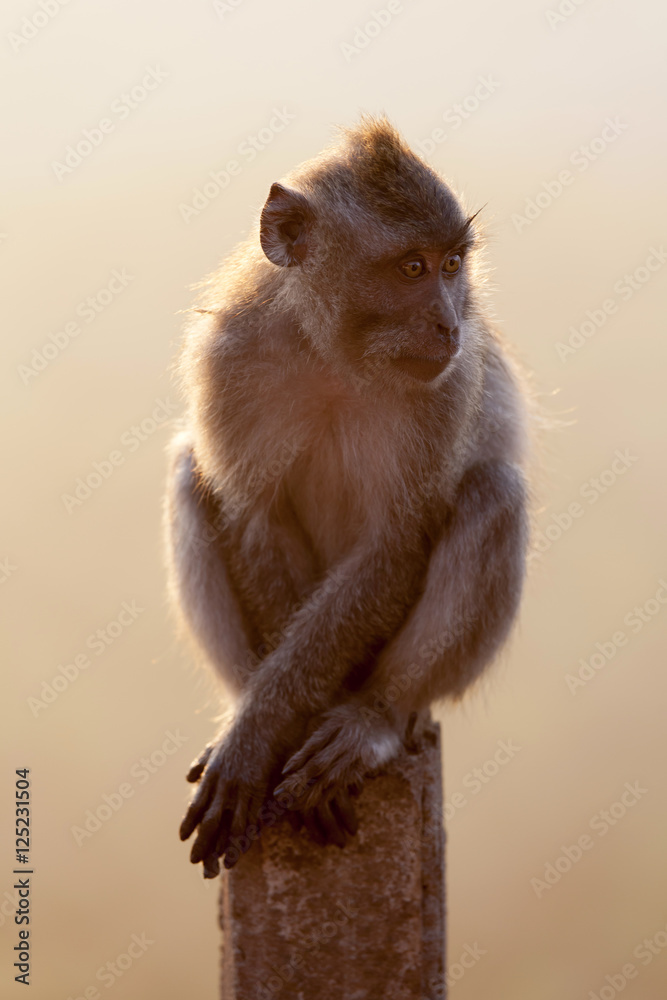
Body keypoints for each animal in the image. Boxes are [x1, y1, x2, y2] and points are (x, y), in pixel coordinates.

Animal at [165, 115, 530, 879]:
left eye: (452, 264)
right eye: (412, 268)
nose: (450, 325)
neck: (337, 357)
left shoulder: (448, 384)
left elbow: (395, 545)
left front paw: (271, 728)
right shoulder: (228, 355)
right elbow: (254, 516)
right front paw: (260, 730)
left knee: (493, 490)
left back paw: (377, 717)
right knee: (190, 470)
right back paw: (243, 699)